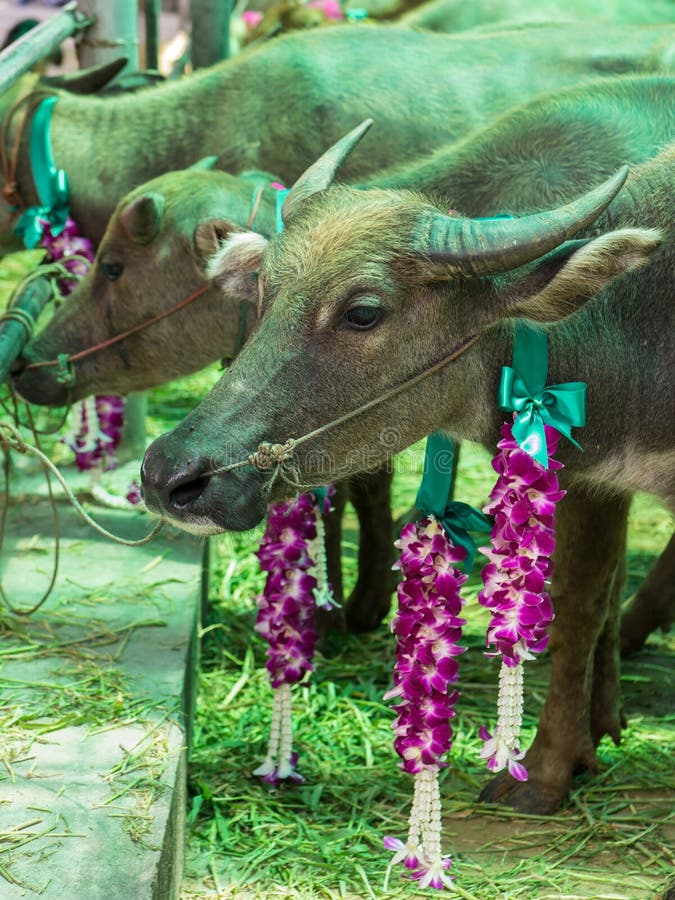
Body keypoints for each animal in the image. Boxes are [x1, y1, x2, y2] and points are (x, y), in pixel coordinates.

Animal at [137, 127, 674, 814]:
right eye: (264, 291)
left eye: (364, 312)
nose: (168, 474)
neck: (640, 329)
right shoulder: (594, 478)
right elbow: (585, 598)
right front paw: (573, 751)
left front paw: (549, 767)